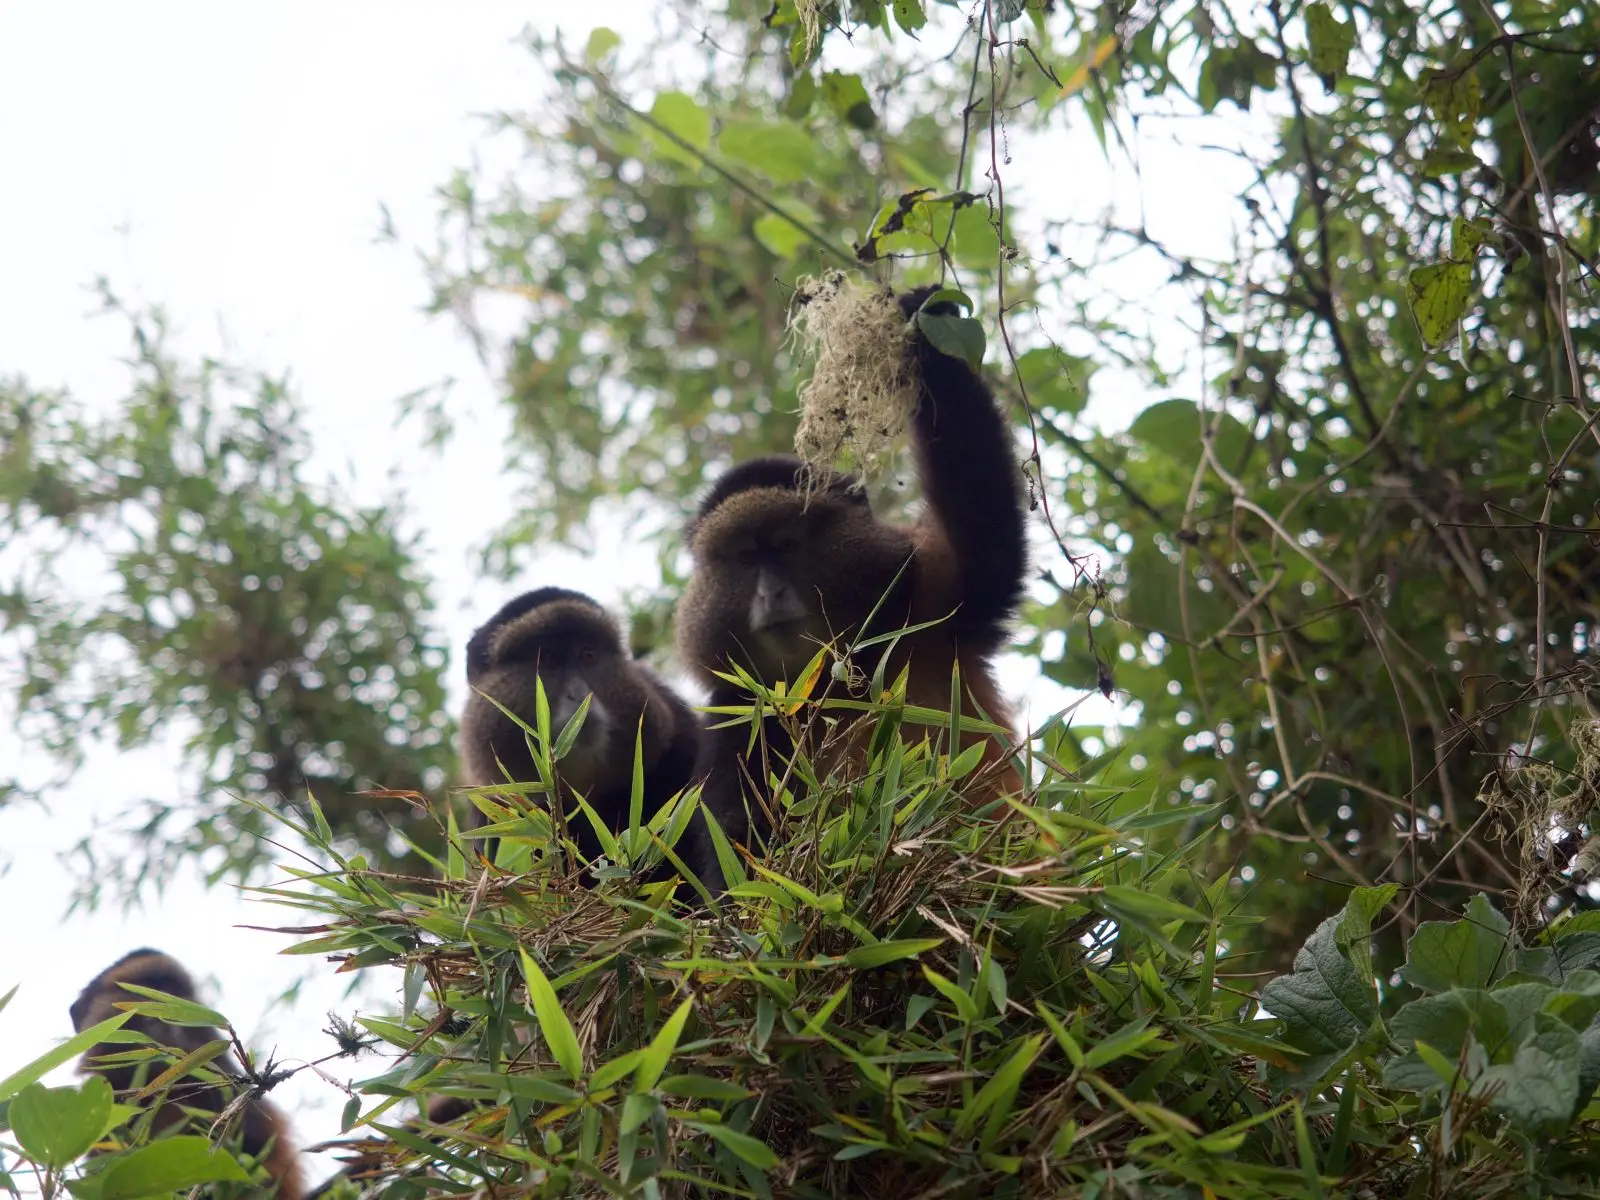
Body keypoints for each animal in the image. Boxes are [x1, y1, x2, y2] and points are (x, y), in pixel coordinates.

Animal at [674, 284, 1029, 890]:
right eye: (744, 558)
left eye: (785, 545)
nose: (769, 595)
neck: (828, 680)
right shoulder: (737, 715)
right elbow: (737, 857)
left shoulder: (929, 600)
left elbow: (985, 530)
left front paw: (923, 314)